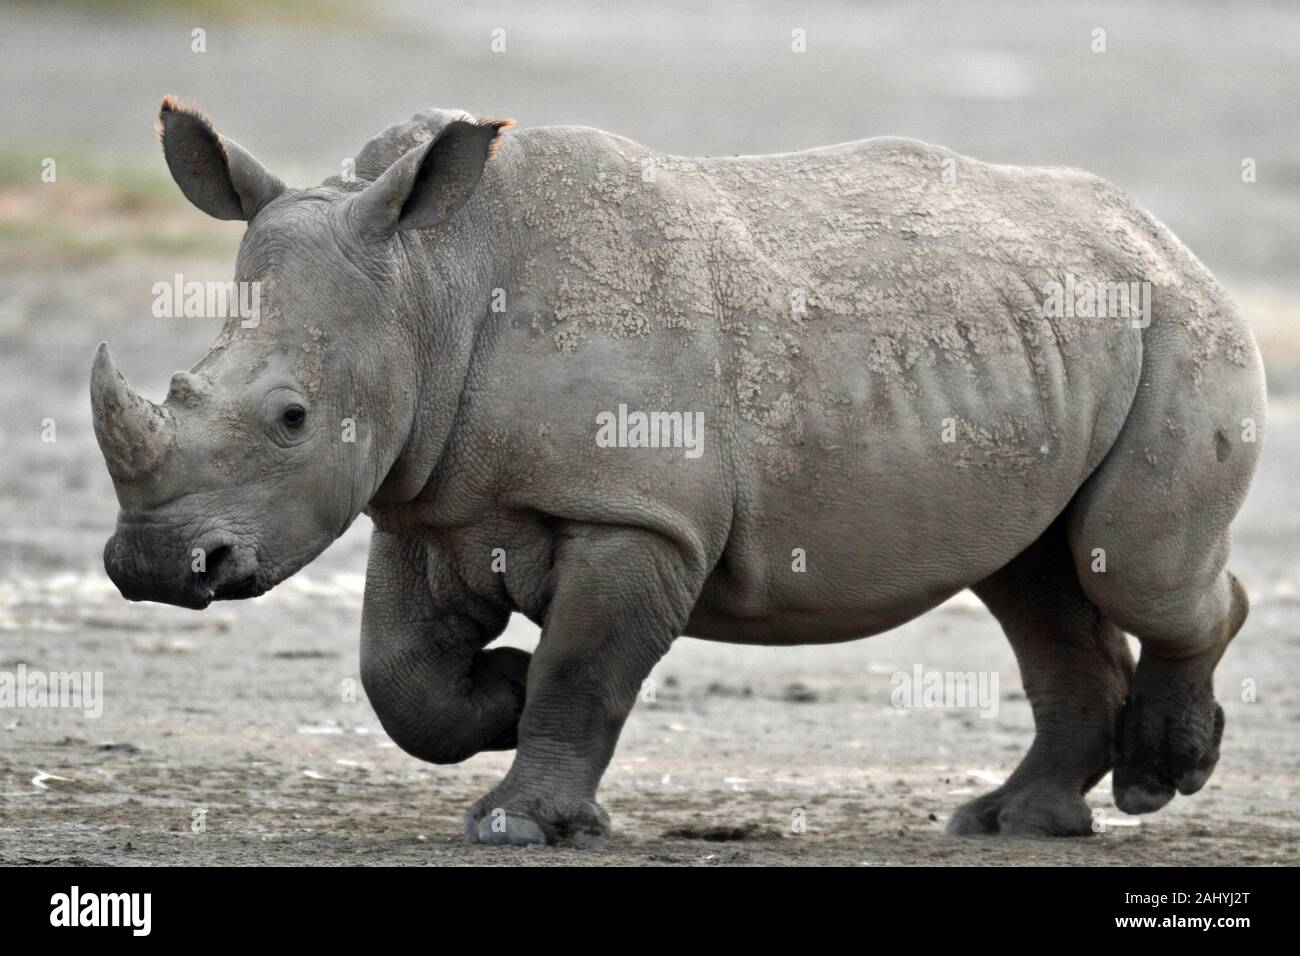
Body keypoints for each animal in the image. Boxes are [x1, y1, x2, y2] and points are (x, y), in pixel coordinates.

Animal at [91, 97, 1265, 846]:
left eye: (292, 418)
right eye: (184, 386)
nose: (153, 564)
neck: (430, 279)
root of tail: (1159, 233)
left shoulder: (637, 514)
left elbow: (583, 673)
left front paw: (520, 818)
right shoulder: (428, 500)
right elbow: (398, 677)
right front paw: (497, 693)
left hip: (1180, 323)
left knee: (1135, 573)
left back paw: (1162, 775)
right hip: (1037, 343)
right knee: (1032, 578)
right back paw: (1008, 823)